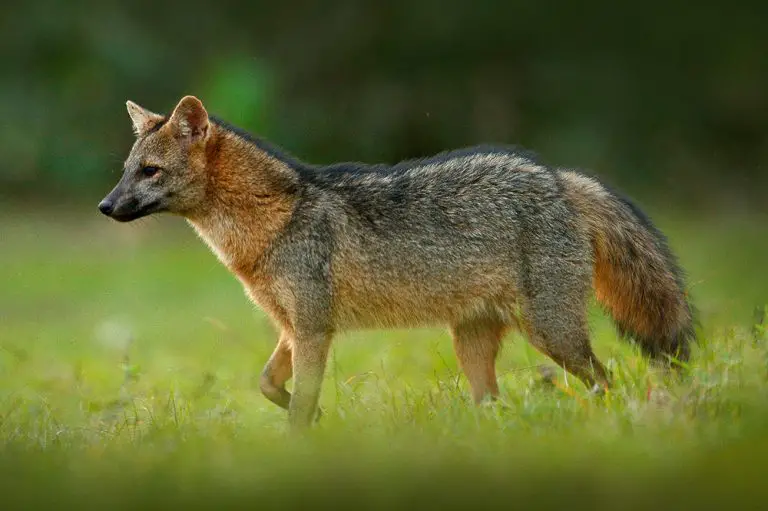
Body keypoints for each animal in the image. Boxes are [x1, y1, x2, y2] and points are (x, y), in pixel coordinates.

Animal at [99, 95, 695, 429]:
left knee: (607, 382)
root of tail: (557, 176)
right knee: (496, 407)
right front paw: (311, 413)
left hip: (552, 335)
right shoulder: (293, 328)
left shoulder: (313, 330)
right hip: (474, 347)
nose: (105, 207)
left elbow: (296, 405)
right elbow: (268, 385)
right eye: (127, 170)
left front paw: (301, 439)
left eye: (150, 172)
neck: (274, 221)